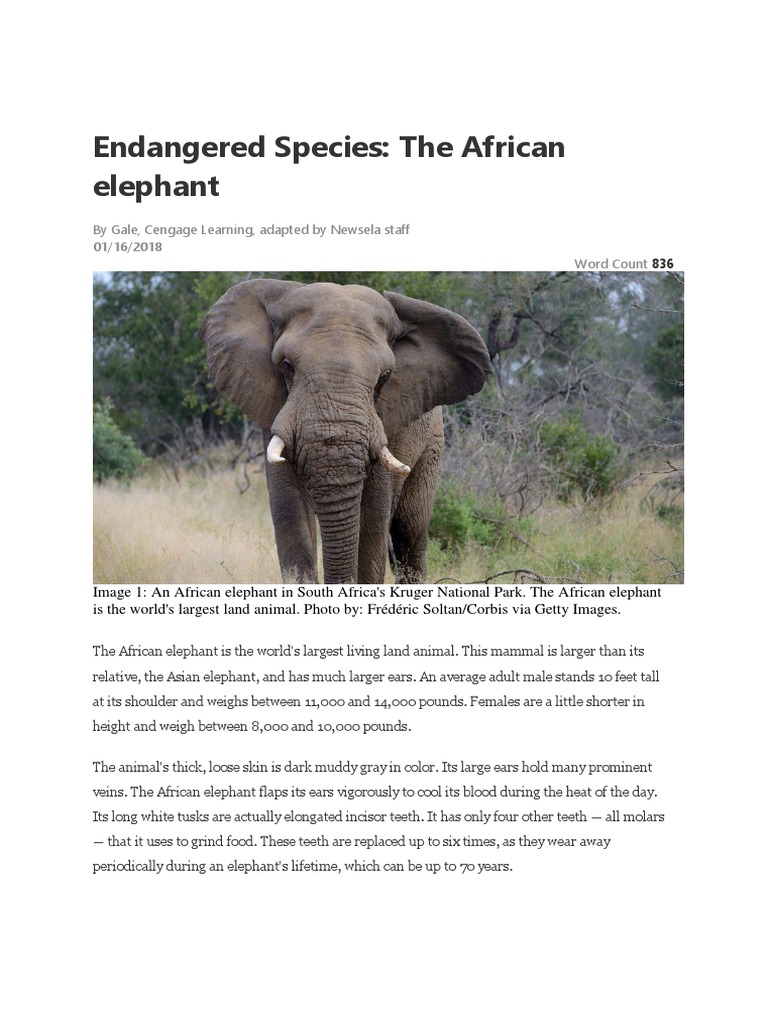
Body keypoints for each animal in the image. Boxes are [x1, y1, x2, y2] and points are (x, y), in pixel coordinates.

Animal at [200, 279, 491, 584]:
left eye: (384, 377)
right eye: (286, 366)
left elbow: (372, 518)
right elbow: (291, 511)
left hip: (433, 442)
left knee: (410, 531)